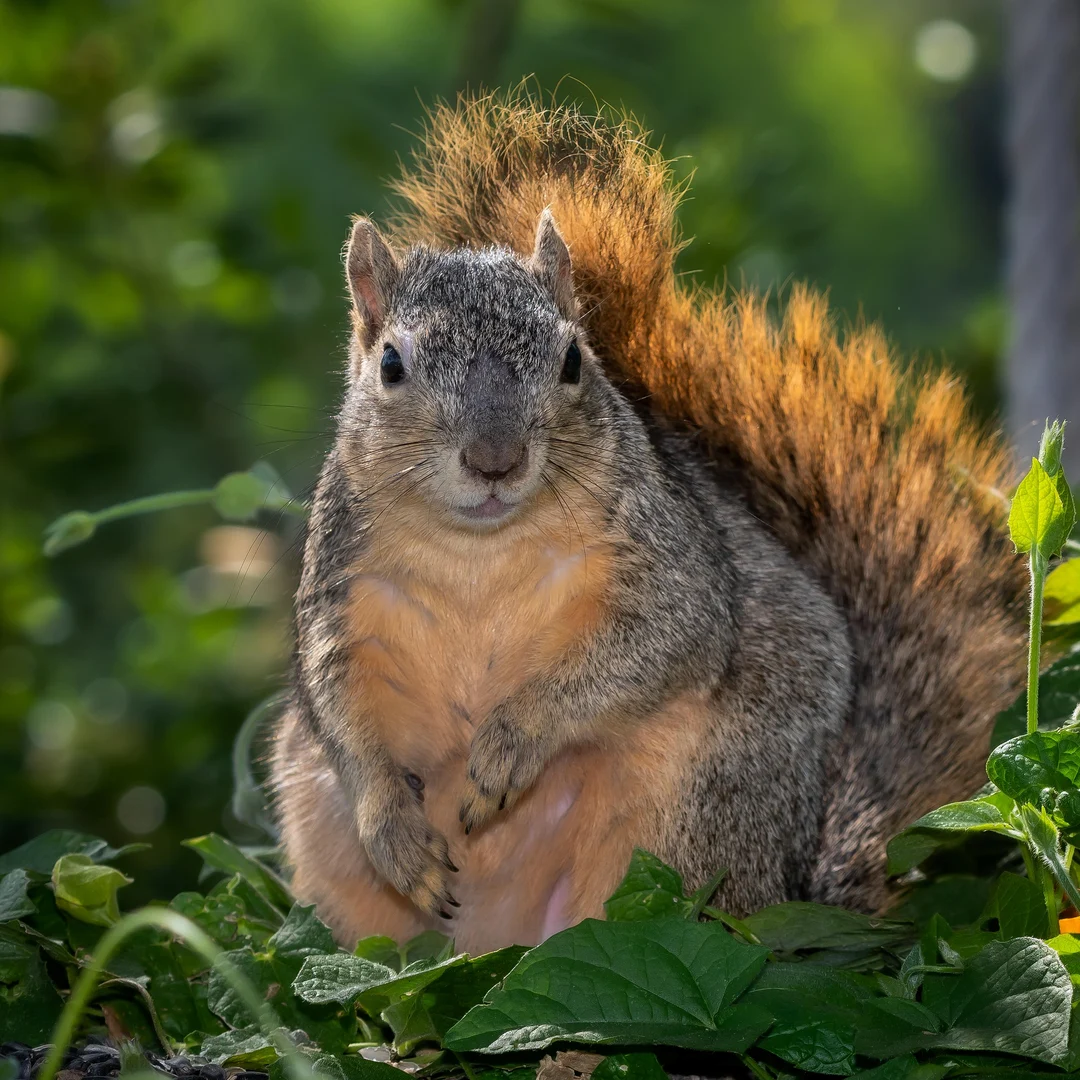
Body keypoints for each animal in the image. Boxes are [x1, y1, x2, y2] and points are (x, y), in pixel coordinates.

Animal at [272, 90, 1029, 954]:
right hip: (324, 839)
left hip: (698, 827)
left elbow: (660, 645)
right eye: (391, 365)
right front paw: (392, 827)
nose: (495, 460)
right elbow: (338, 709)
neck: (477, 553)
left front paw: (511, 743)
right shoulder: (341, 599)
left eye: (573, 360)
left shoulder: (674, 565)